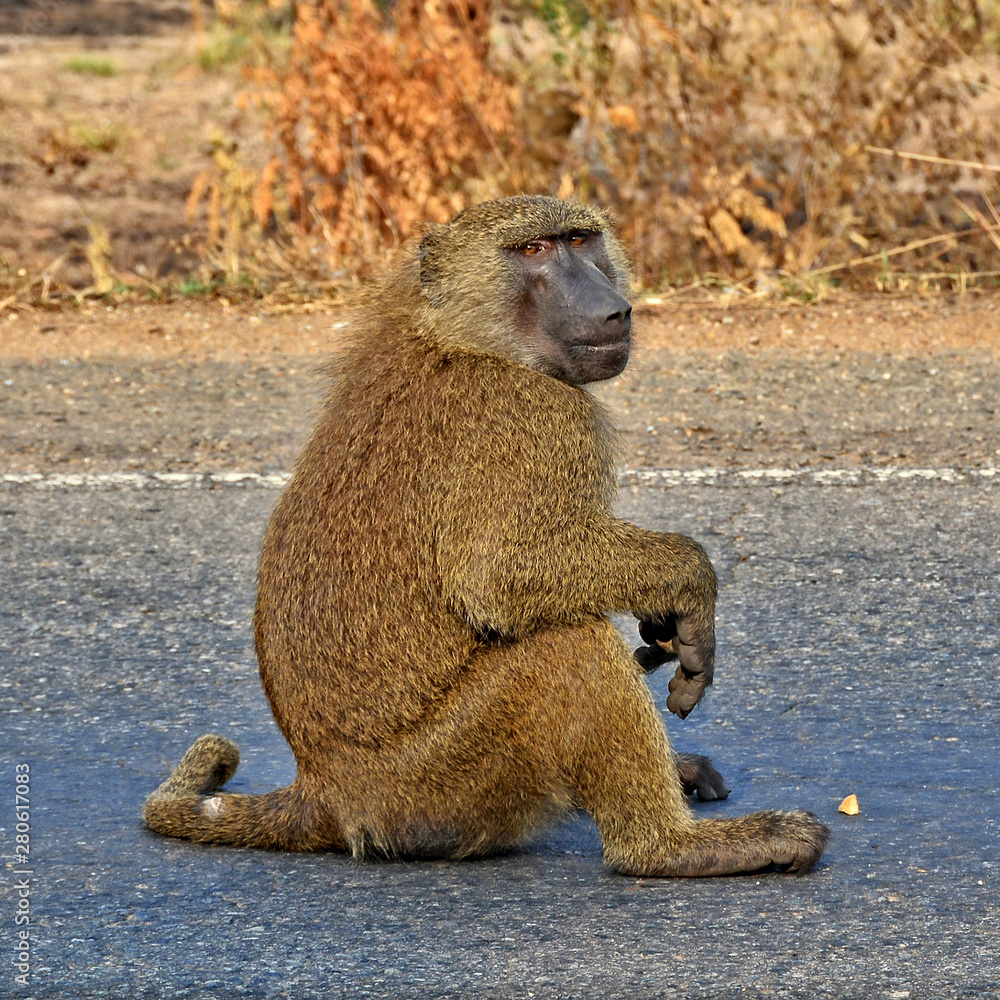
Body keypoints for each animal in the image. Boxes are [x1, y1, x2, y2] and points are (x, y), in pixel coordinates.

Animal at [143, 195, 830, 876]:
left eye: (580, 240)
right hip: (437, 780)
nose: (612, 307)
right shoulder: (537, 415)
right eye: (532, 250)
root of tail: (323, 794)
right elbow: (500, 575)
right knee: (563, 642)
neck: (461, 336)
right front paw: (689, 585)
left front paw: (666, 626)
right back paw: (673, 847)